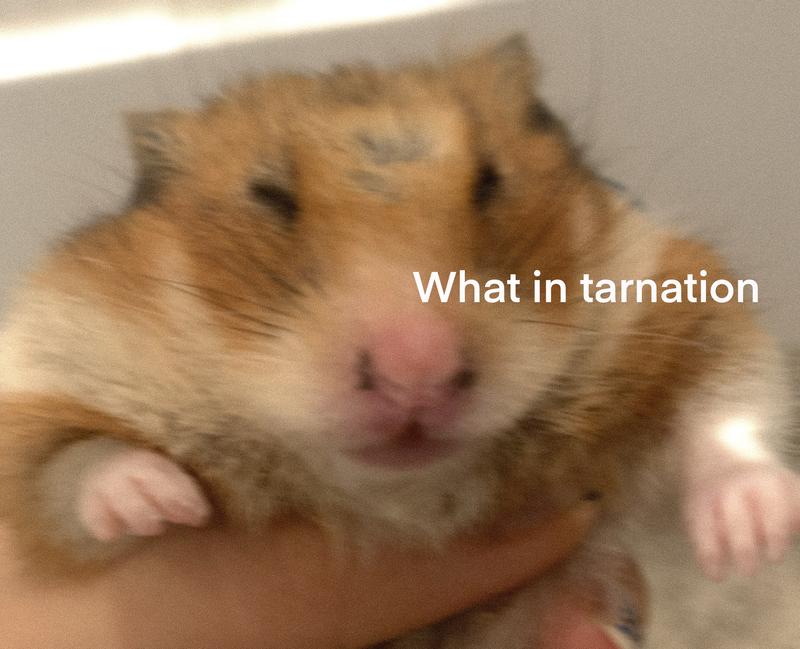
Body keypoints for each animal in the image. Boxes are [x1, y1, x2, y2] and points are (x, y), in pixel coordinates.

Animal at [0, 34, 798, 647]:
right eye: (270, 197)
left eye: (489, 182)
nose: (416, 376)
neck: (406, 498)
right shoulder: (44, 381)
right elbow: (73, 468)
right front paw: (165, 502)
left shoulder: (676, 294)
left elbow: (724, 404)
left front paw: (750, 537)